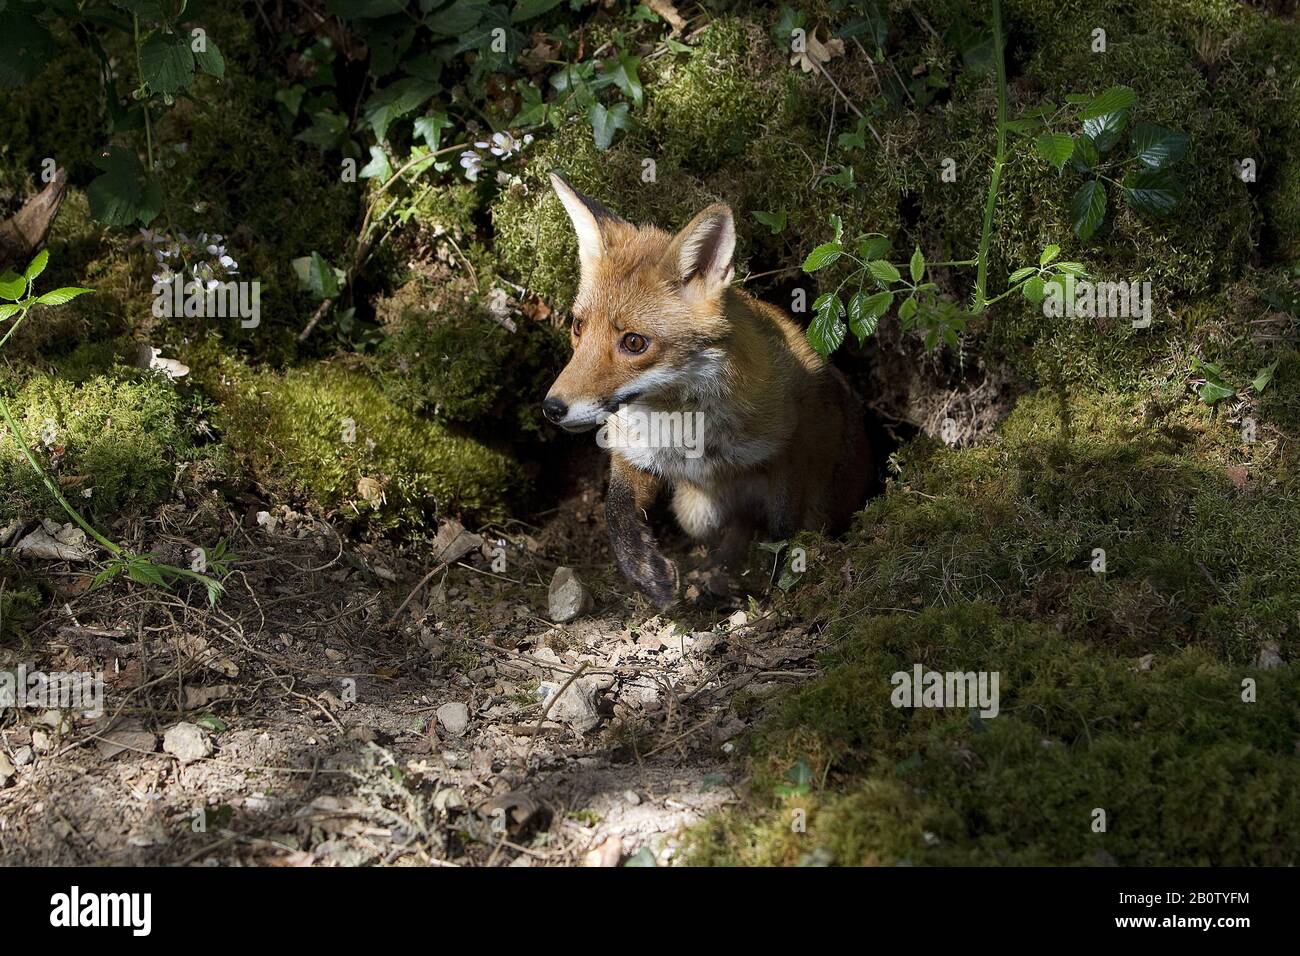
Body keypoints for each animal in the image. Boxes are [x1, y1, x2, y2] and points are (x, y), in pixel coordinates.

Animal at [542, 172, 871, 608]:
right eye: (578, 326)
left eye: (634, 343)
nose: (553, 407)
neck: (684, 426)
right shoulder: (633, 449)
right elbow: (616, 510)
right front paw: (646, 572)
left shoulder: (792, 447)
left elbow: (785, 531)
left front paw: (777, 593)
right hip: (696, 512)